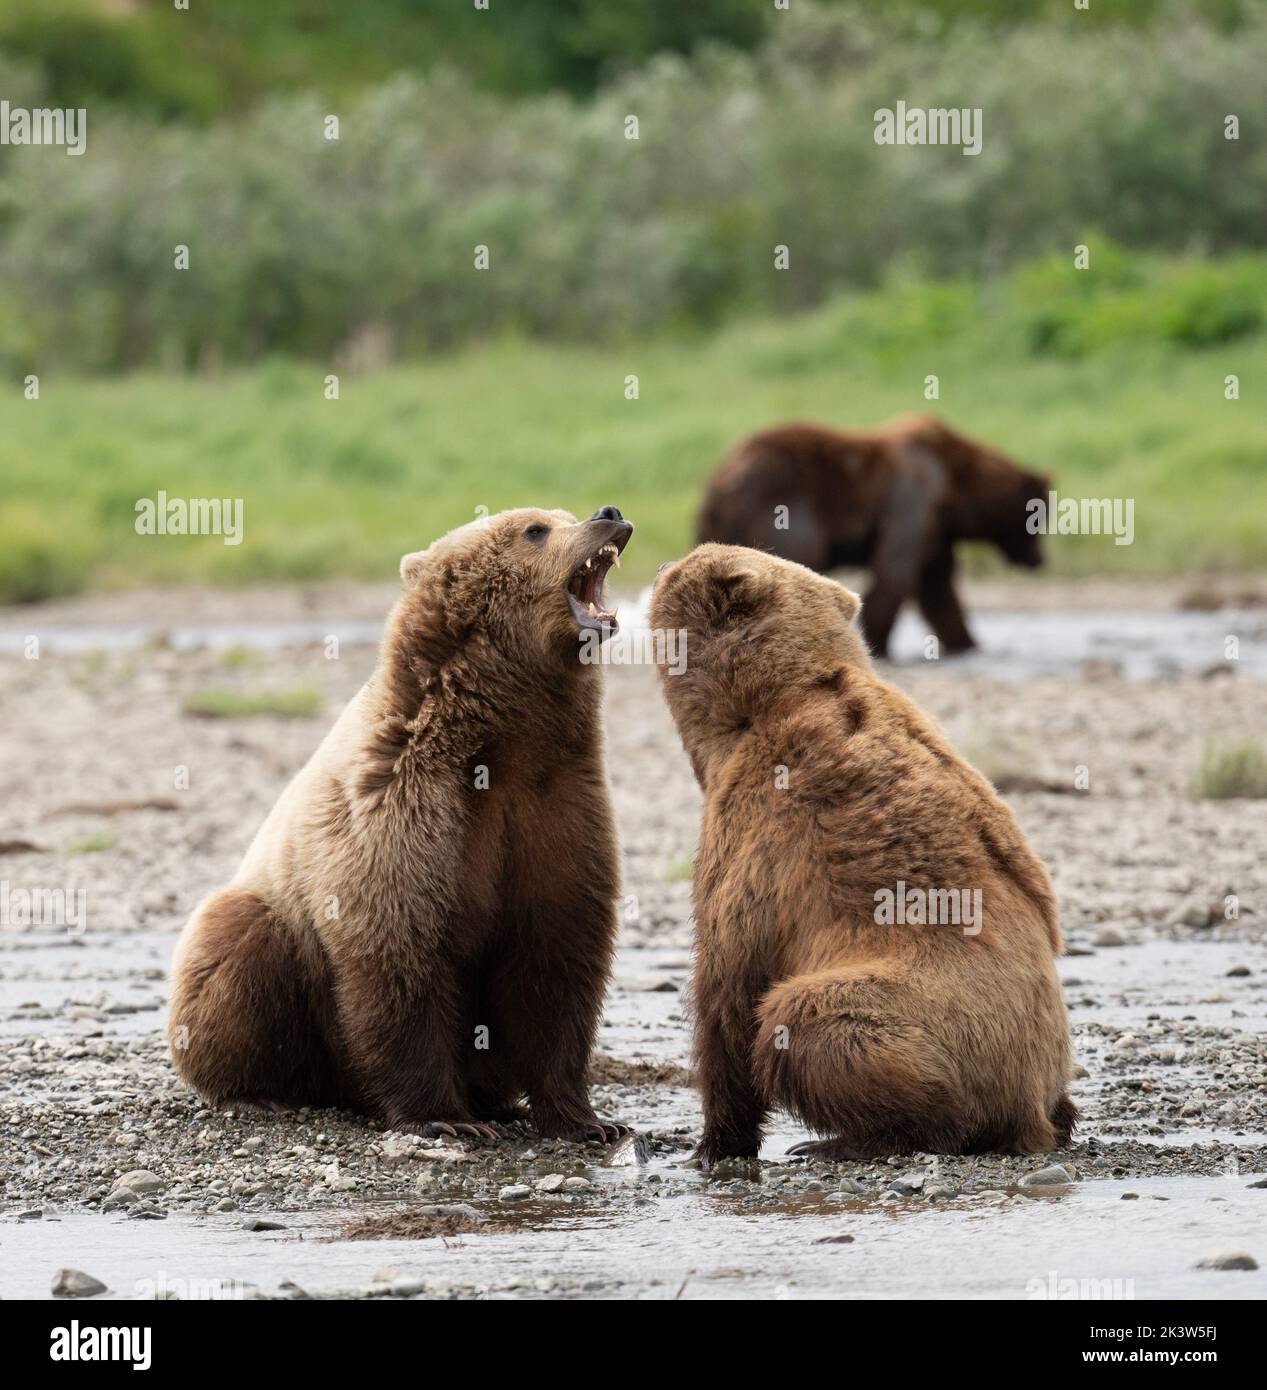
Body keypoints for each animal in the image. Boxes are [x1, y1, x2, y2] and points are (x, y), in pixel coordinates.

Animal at [168, 506, 634, 1144]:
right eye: (535, 529)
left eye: (565, 514)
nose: (609, 515)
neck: (503, 739)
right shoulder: (400, 806)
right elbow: (399, 952)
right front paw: (447, 1118)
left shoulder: (557, 802)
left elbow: (555, 952)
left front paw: (587, 1120)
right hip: (270, 926)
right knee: (237, 947)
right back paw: (257, 1092)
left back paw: (499, 1104)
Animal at [649, 543, 1076, 1163]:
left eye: (685, 561)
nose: (655, 560)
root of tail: (1032, 1099)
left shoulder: (761, 821)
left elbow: (729, 980)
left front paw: (715, 1143)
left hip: (941, 1010)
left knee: (806, 1017)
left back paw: (848, 1139)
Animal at [694, 414, 1048, 658]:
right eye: (1038, 520)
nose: (1040, 560)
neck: (956, 492)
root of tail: (718, 482)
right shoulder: (912, 502)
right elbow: (895, 572)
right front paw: (877, 643)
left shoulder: (935, 534)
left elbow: (938, 587)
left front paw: (968, 642)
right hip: (783, 505)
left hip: (715, 529)